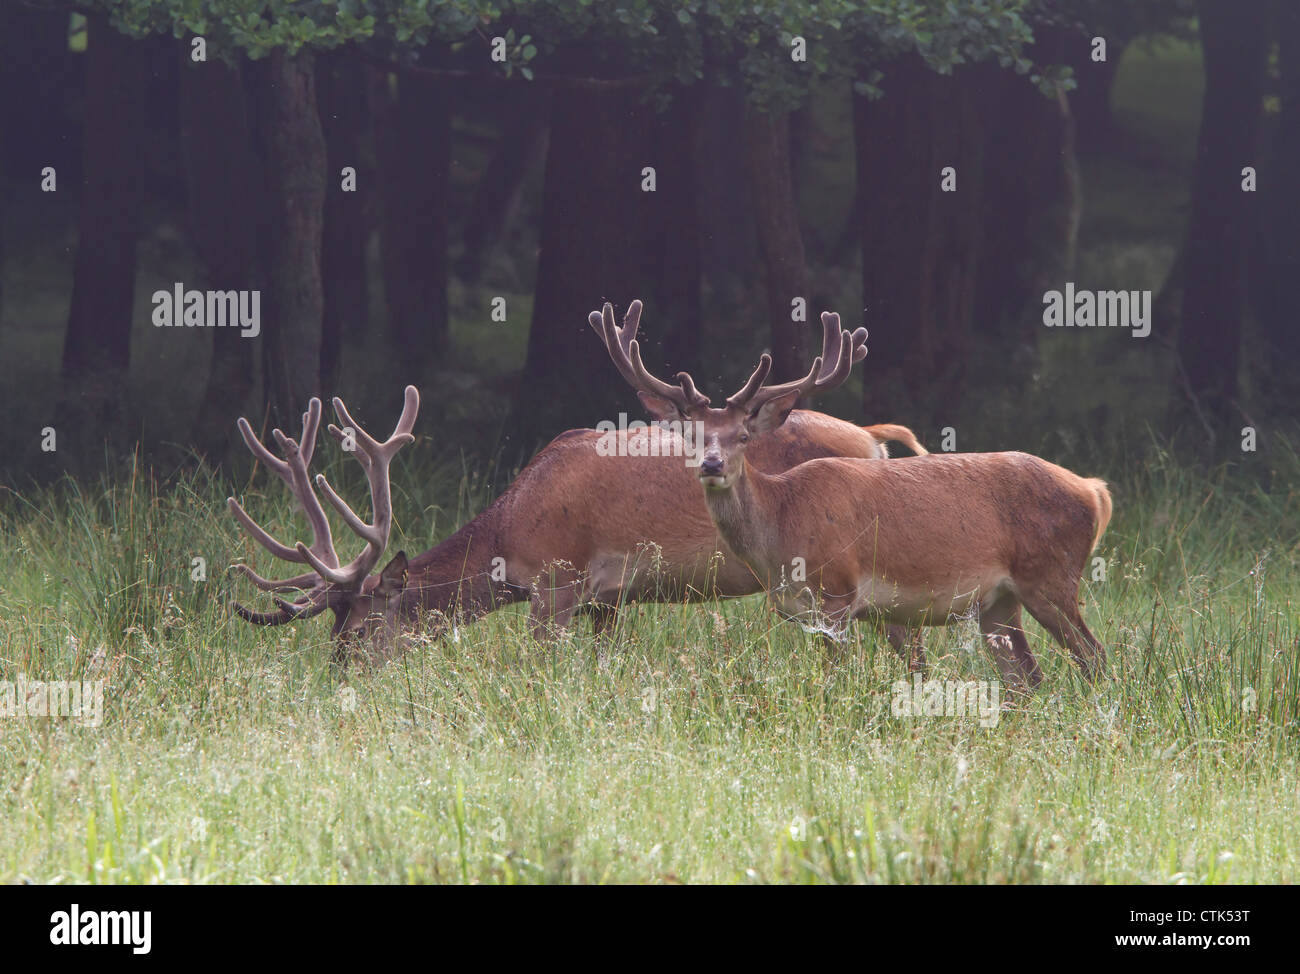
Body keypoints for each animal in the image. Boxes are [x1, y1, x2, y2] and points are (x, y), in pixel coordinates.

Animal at [226, 308, 930, 666]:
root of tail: (872, 439)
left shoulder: (555, 581)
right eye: (333, 630)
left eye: (364, 632)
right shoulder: (606, 601)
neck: (512, 530)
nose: (338, 680)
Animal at [600, 305, 1113, 690]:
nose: (711, 466)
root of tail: (1094, 491)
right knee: (1026, 678)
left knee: (1095, 658)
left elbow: (835, 679)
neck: (782, 525)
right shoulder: (802, 610)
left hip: (1051, 576)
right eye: (693, 436)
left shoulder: (837, 592)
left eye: (743, 436)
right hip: (1000, 602)